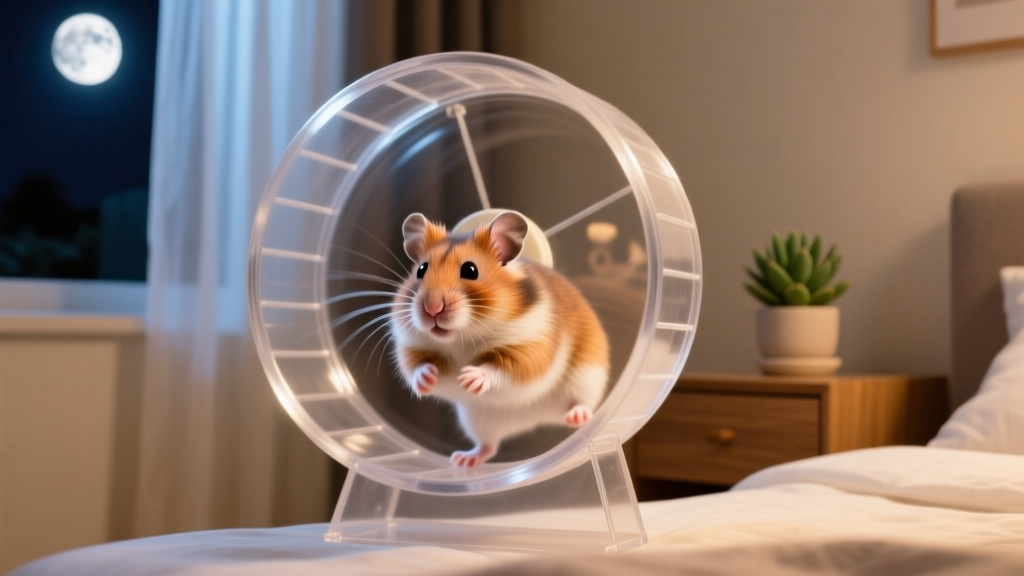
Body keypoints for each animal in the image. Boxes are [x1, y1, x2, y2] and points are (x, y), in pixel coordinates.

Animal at [390, 211, 610, 467]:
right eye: (421, 269)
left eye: (470, 270)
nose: (432, 309)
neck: (463, 335)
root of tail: (536, 420)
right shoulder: (412, 347)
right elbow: (417, 369)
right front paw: (429, 376)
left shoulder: (530, 348)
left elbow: (501, 370)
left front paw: (469, 378)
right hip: (477, 421)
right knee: (489, 446)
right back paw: (463, 460)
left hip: (587, 377)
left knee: (583, 402)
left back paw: (577, 417)